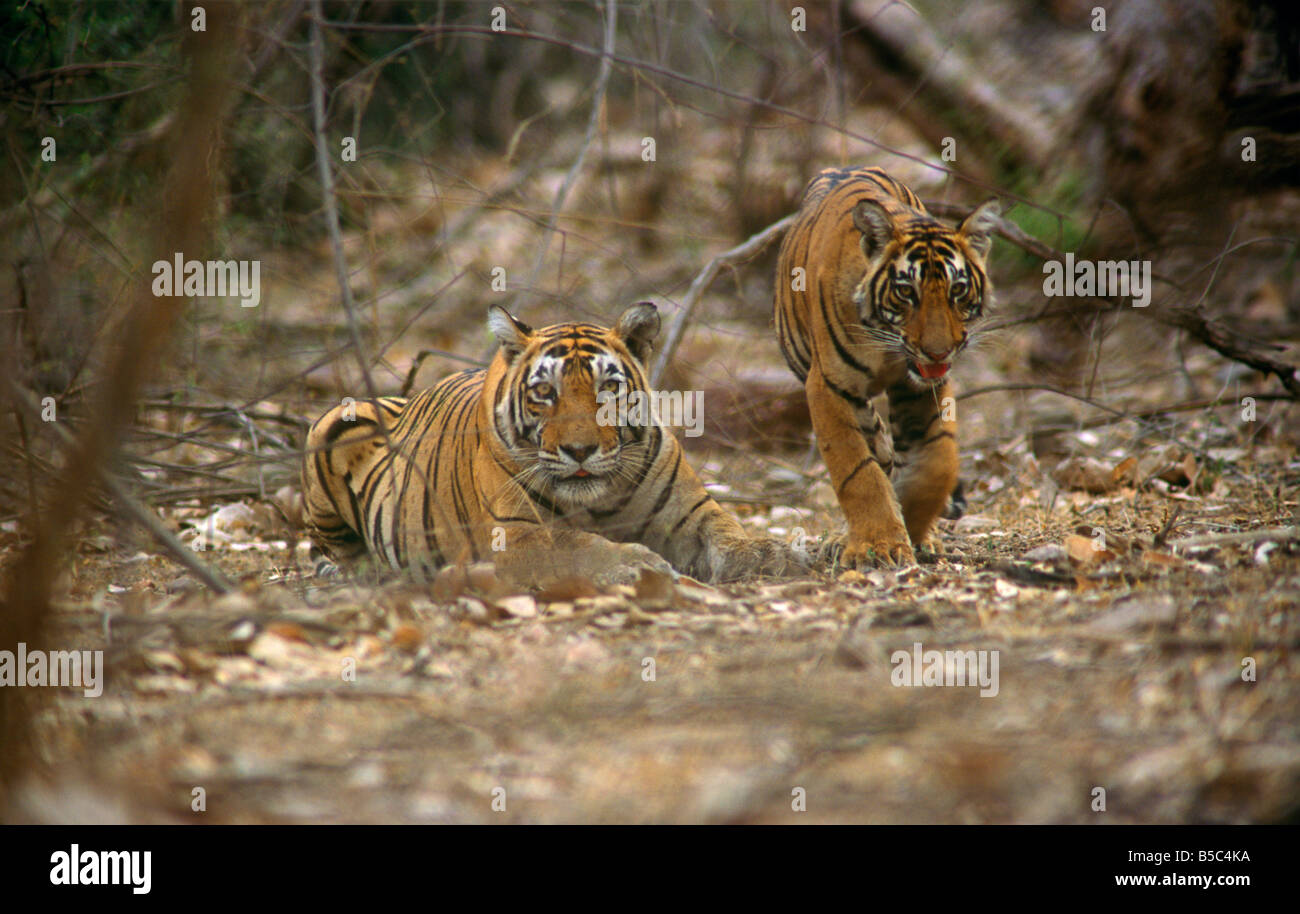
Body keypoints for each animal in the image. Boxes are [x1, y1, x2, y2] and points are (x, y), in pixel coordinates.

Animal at [301, 302, 802, 586]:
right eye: (545, 392)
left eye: (608, 388)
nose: (579, 451)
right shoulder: (513, 533)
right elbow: (575, 545)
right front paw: (641, 565)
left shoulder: (689, 512)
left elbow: (725, 531)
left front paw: (769, 553)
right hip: (336, 421)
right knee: (338, 550)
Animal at [774, 165, 1000, 567]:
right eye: (906, 292)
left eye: (957, 290)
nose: (939, 352)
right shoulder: (828, 386)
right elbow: (857, 471)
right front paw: (878, 546)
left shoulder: (922, 387)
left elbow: (938, 460)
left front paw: (916, 527)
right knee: (876, 452)